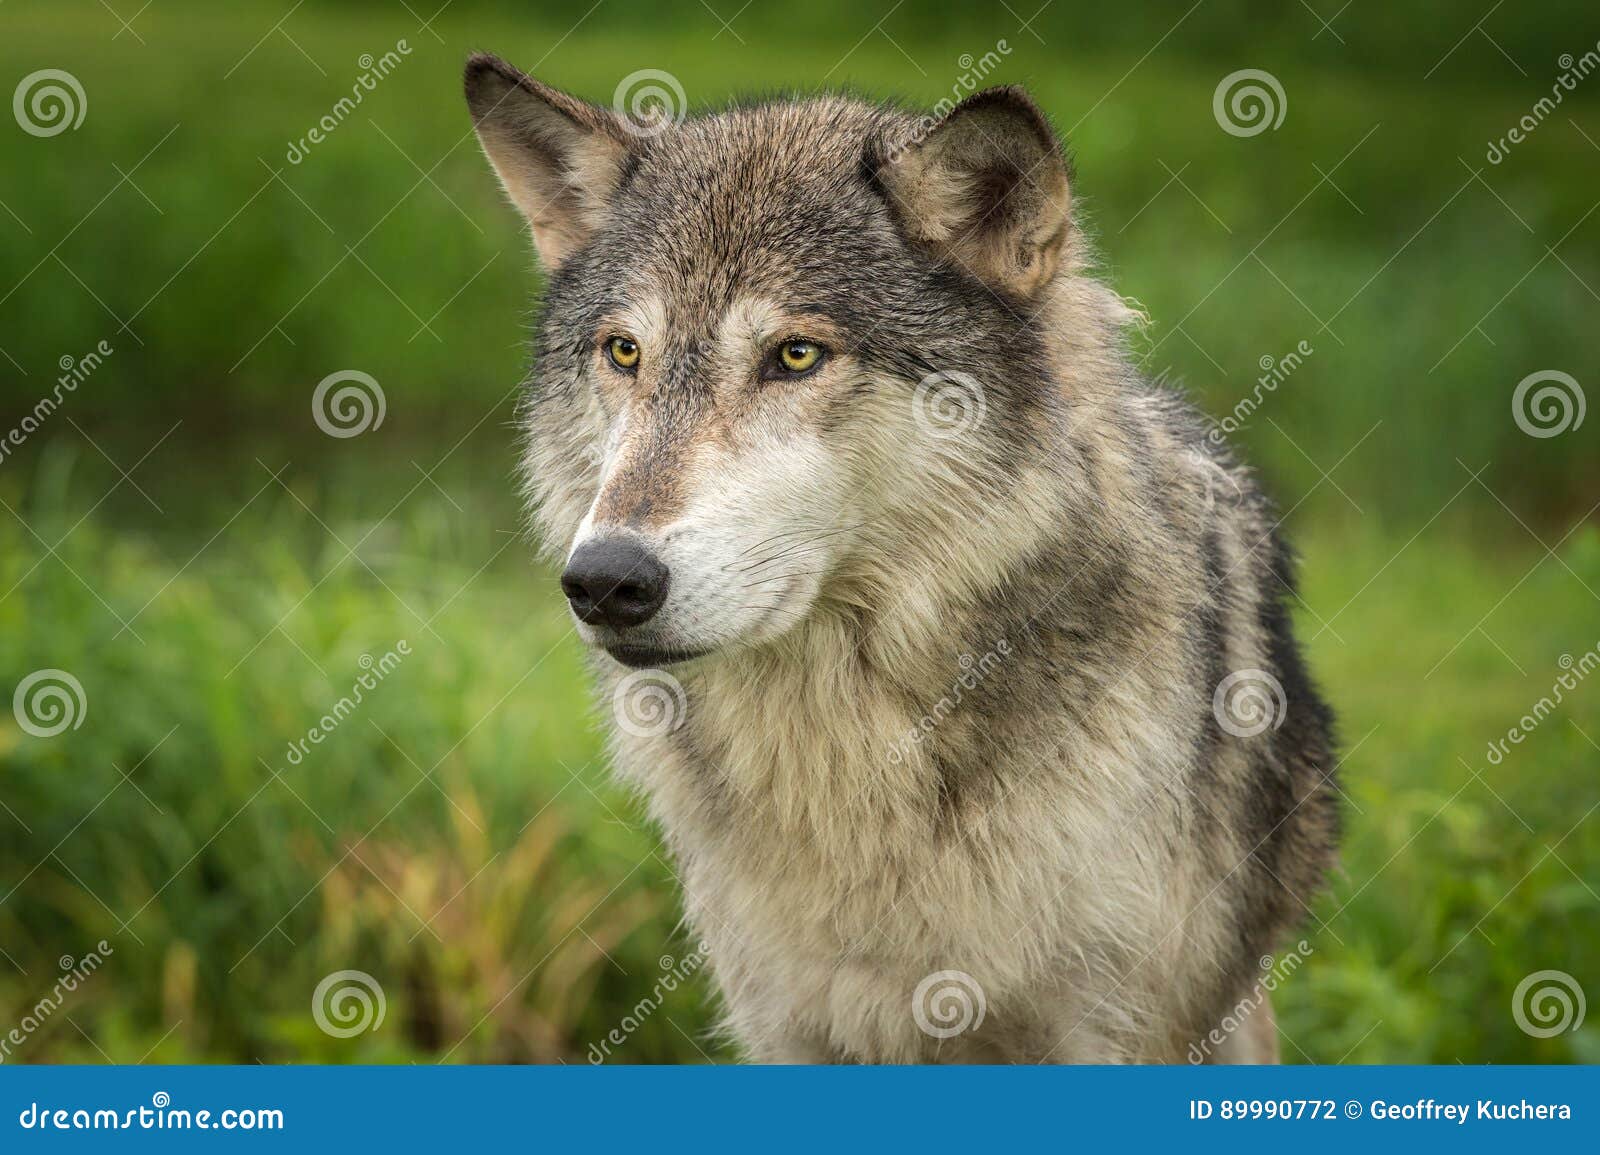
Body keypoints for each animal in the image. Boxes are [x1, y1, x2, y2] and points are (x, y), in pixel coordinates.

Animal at [465, 53, 1339, 1063]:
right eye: (624, 352)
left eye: (795, 355)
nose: (606, 579)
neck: (859, 758)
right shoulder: (783, 1026)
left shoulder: (1105, 1027)